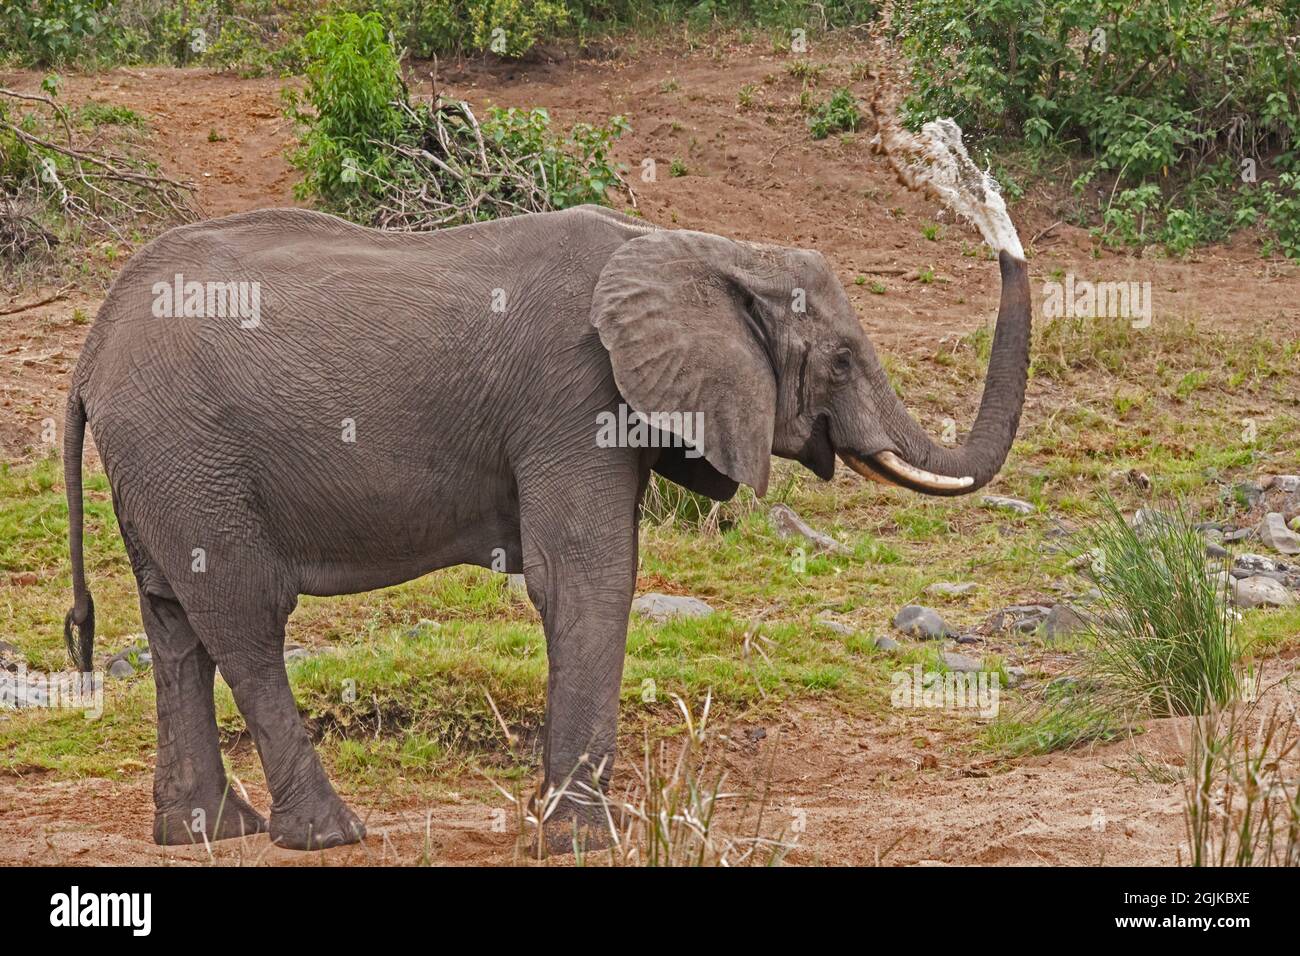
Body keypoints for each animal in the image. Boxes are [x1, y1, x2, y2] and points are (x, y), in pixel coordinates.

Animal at [62, 202, 1031, 851]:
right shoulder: (573, 399)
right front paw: (587, 839)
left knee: (175, 626)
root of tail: (89, 353)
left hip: (164, 460)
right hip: (189, 447)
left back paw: (209, 832)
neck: (698, 247)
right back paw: (329, 834)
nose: (994, 217)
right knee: (245, 619)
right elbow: (587, 578)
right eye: (840, 360)